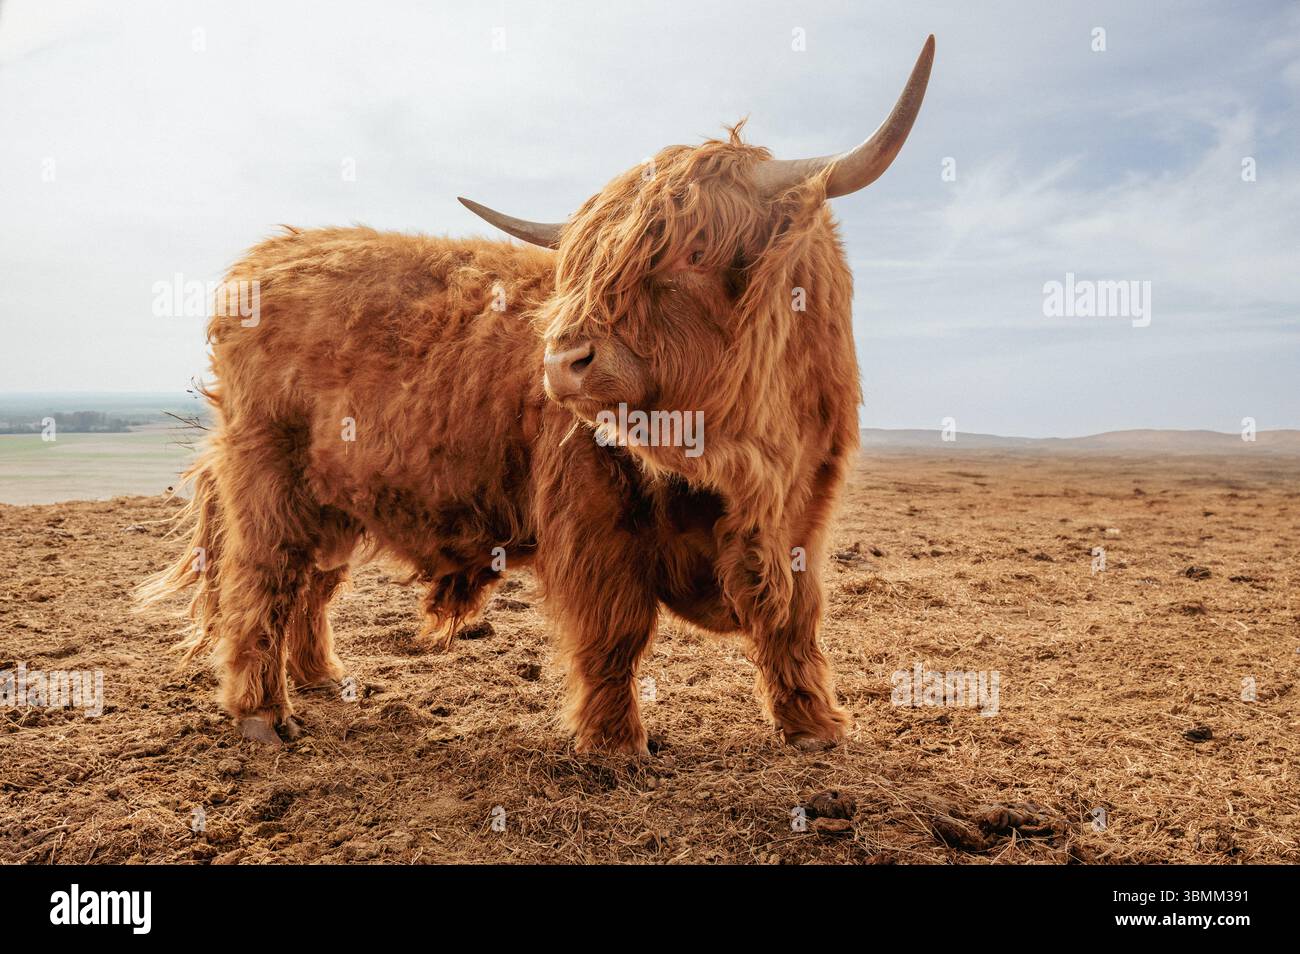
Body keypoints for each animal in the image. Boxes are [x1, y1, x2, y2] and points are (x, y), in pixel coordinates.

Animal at [142, 37, 934, 754]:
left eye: (695, 251)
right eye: (580, 266)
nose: (562, 360)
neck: (748, 461)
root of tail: (270, 257)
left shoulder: (807, 508)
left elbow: (793, 621)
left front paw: (815, 726)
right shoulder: (594, 514)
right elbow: (617, 632)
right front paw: (615, 745)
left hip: (333, 495)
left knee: (311, 584)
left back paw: (321, 679)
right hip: (266, 482)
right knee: (261, 583)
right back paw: (264, 716)